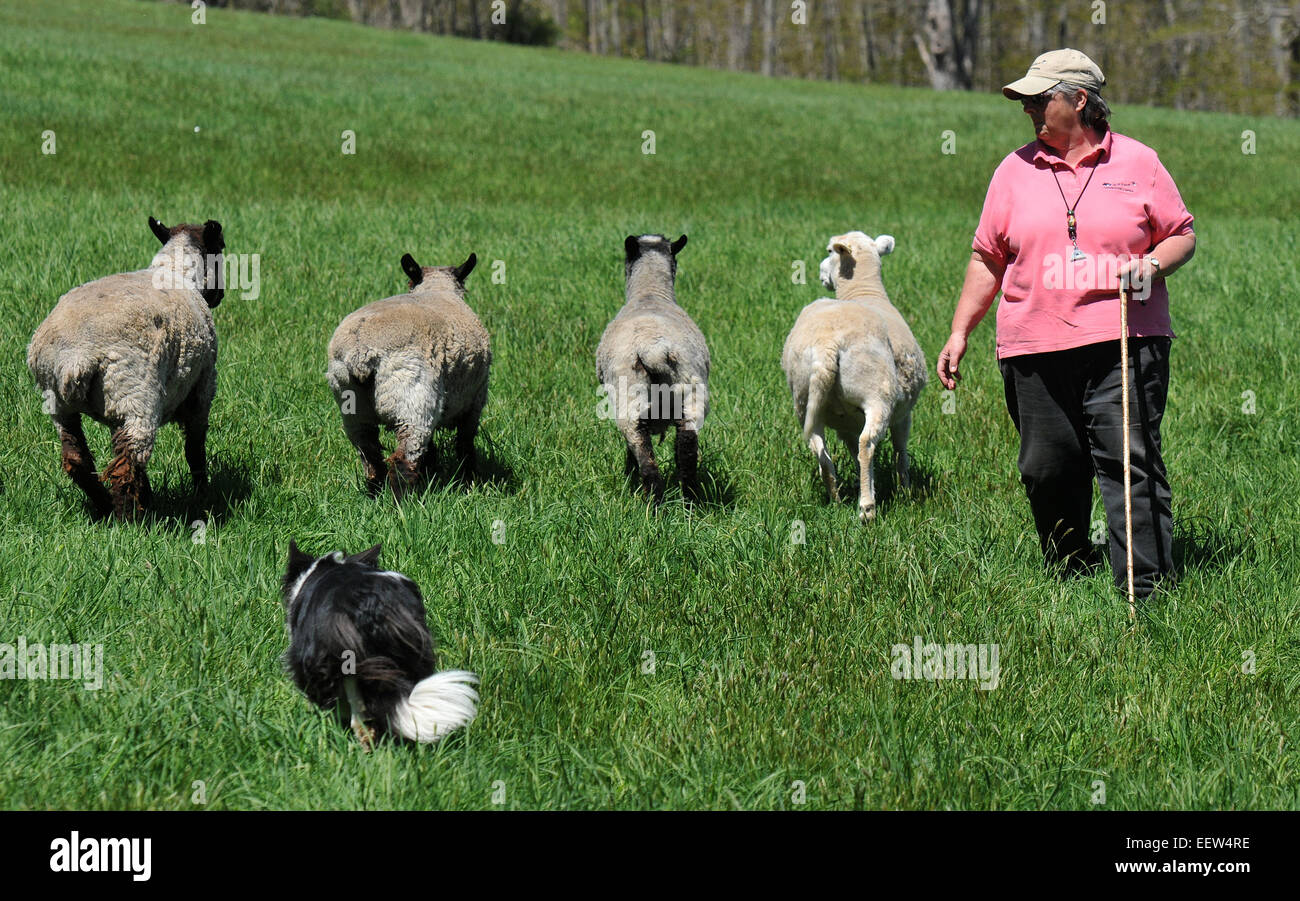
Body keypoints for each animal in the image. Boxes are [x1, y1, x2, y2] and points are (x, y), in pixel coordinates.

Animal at [26, 216, 225, 521]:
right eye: (221, 248)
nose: (220, 295)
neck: (175, 272)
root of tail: (75, 357)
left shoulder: (114, 413)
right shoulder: (202, 387)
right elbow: (195, 449)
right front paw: (202, 494)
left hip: (63, 404)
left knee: (77, 459)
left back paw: (105, 505)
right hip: (136, 395)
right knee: (128, 463)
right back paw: (128, 521)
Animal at [327, 251, 489, 499]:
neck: (437, 288)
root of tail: (360, 351)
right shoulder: (475, 400)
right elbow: (465, 444)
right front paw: (470, 479)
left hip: (353, 407)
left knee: (370, 456)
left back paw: (376, 495)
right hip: (412, 400)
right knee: (403, 461)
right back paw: (404, 503)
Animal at [596, 234, 709, 505]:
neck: (650, 294)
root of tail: (654, 350)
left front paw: (628, 476)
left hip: (629, 401)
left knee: (646, 461)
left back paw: (651, 504)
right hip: (691, 393)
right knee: (687, 452)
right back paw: (690, 503)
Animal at [781, 231, 927, 522]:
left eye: (829, 251)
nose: (820, 273)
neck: (864, 291)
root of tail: (826, 345)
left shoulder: (846, 423)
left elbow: (853, 451)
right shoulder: (904, 414)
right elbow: (900, 452)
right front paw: (904, 489)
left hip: (805, 402)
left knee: (821, 451)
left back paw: (836, 499)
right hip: (877, 393)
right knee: (867, 444)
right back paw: (867, 508)